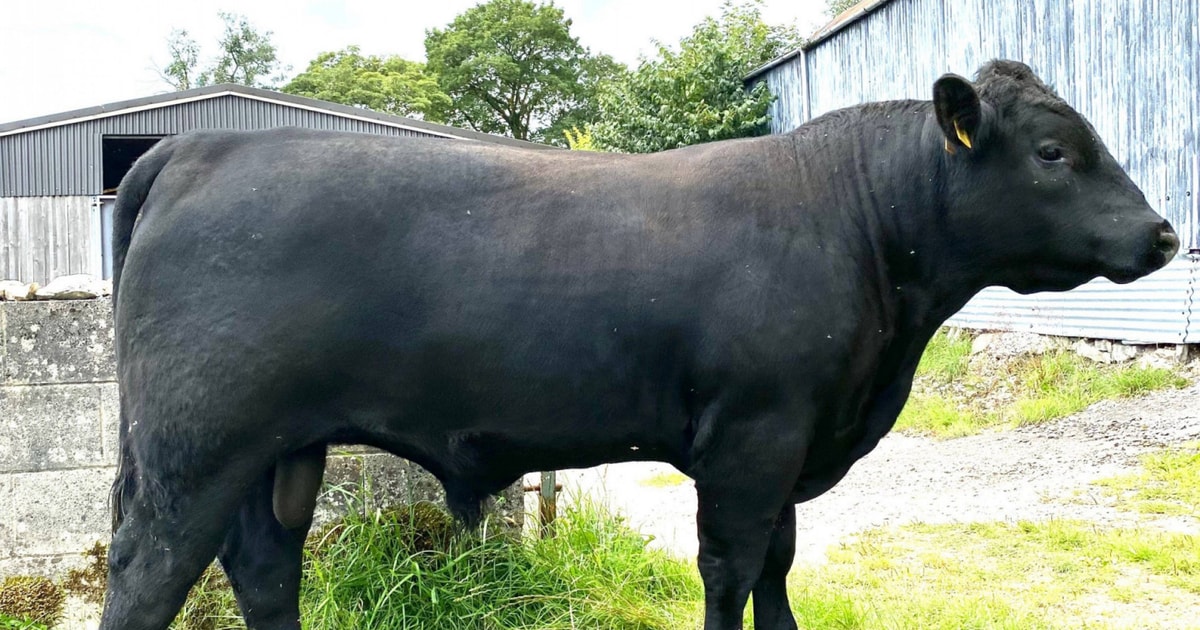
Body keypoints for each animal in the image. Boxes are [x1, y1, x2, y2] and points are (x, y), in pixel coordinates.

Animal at [100, 60, 1179, 630]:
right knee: (151, 571)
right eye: (1054, 152)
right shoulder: (753, 435)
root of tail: (199, 145)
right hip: (196, 445)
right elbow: (732, 566)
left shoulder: (791, 443)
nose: (1164, 234)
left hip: (275, 449)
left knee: (262, 564)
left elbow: (779, 564)